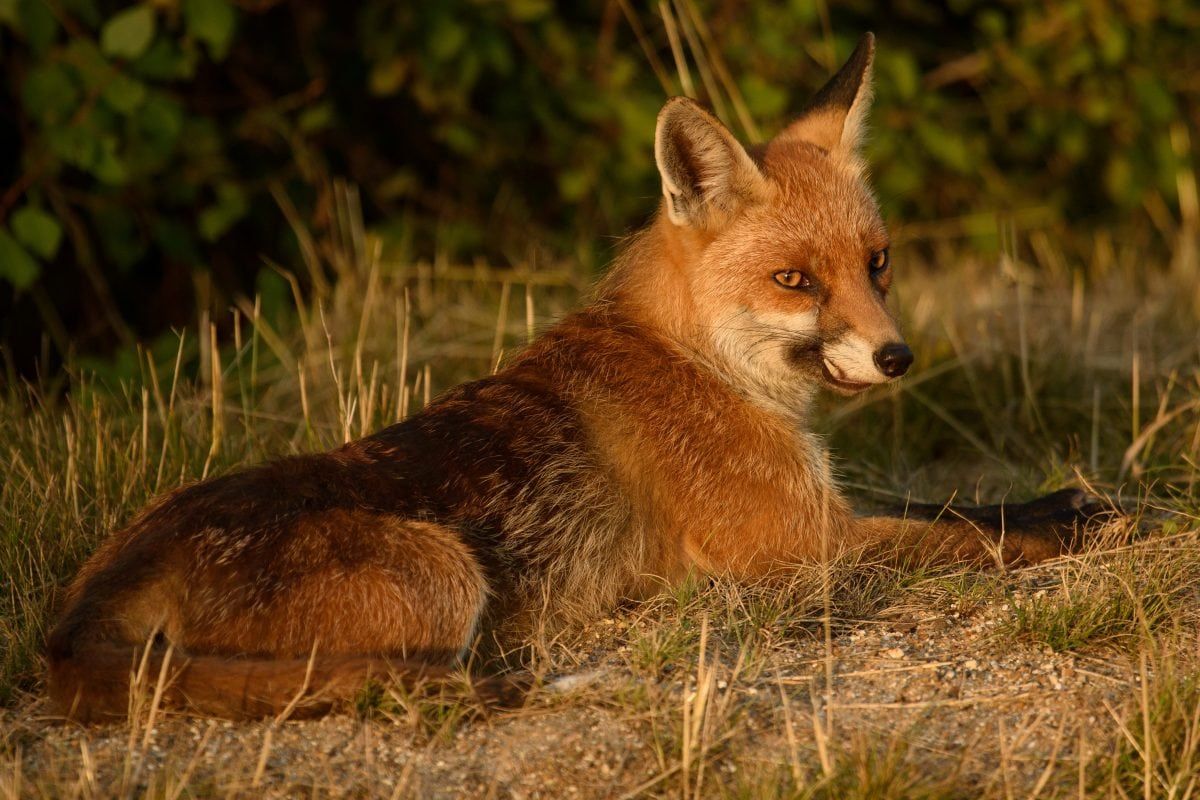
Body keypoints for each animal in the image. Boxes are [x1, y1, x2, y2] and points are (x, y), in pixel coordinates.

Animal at [47, 33, 1111, 722]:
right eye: (795, 281)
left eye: (878, 263)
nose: (897, 357)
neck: (703, 362)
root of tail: (76, 615)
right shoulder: (799, 547)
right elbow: (968, 535)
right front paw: (1073, 527)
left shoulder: (823, 510)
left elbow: (951, 504)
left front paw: (1066, 498)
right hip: (443, 574)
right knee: (356, 685)